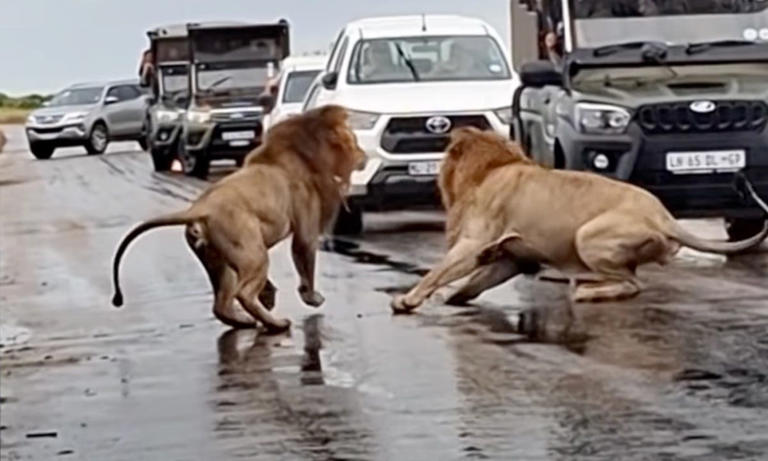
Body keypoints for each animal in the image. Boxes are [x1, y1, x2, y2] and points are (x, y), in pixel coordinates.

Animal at [112, 105, 365, 332]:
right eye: (355, 140)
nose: (364, 156)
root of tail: (201, 207)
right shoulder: (306, 230)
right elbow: (306, 262)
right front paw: (312, 297)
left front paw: (273, 294)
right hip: (254, 253)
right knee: (243, 294)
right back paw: (276, 324)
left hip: (219, 264)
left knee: (221, 305)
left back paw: (245, 321)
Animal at [391, 127, 768, 312]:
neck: (491, 167)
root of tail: (666, 218)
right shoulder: (511, 258)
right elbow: (471, 284)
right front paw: (452, 300)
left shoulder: (473, 245)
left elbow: (436, 272)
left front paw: (407, 301)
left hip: (588, 236)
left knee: (633, 283)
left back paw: (584, 290)